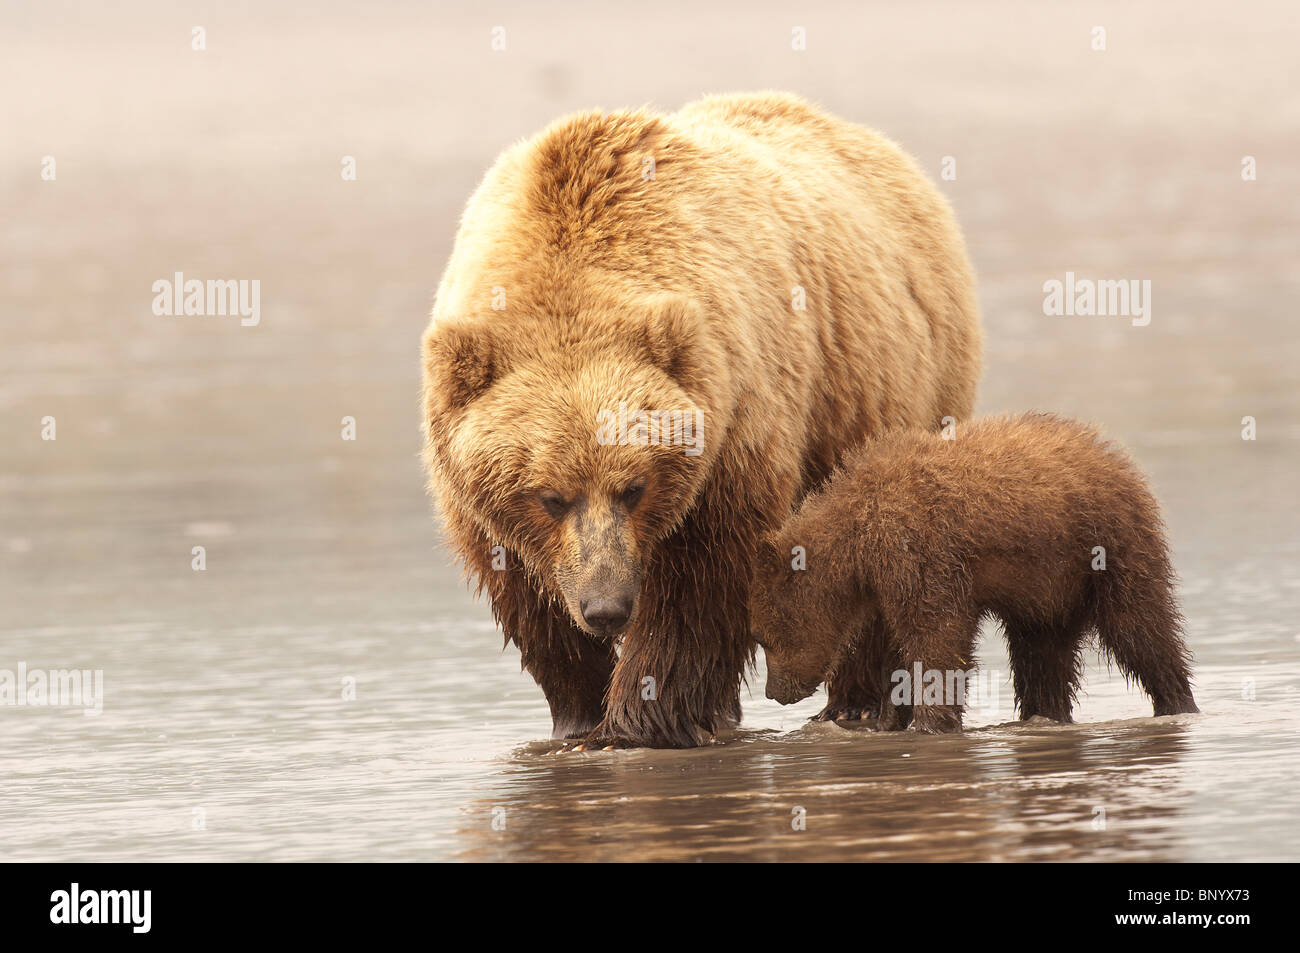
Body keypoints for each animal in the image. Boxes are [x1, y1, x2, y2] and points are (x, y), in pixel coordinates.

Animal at [420, 92, 983, 748]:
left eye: (633, 487)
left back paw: (858, 706)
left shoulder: (733, 425)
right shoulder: (474, 489)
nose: (607, 608)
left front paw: (637, 721)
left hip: (891, 389)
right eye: (551, 497)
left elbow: (701, 585)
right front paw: (580, 713)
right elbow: (526, 594)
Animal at [750, 412, 1201, 733]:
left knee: (1141, 628)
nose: (774, 693)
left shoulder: (922, 553)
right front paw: (889, 717)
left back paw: (1177, 700)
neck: (860, 542)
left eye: (760, 638)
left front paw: (929, 722)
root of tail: (1115, 453)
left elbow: (936, 639)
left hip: (1109, 548)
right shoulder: (890, 581)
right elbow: (899, 645)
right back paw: (1044, 713)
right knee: (1042, 656)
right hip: (1046, 590)